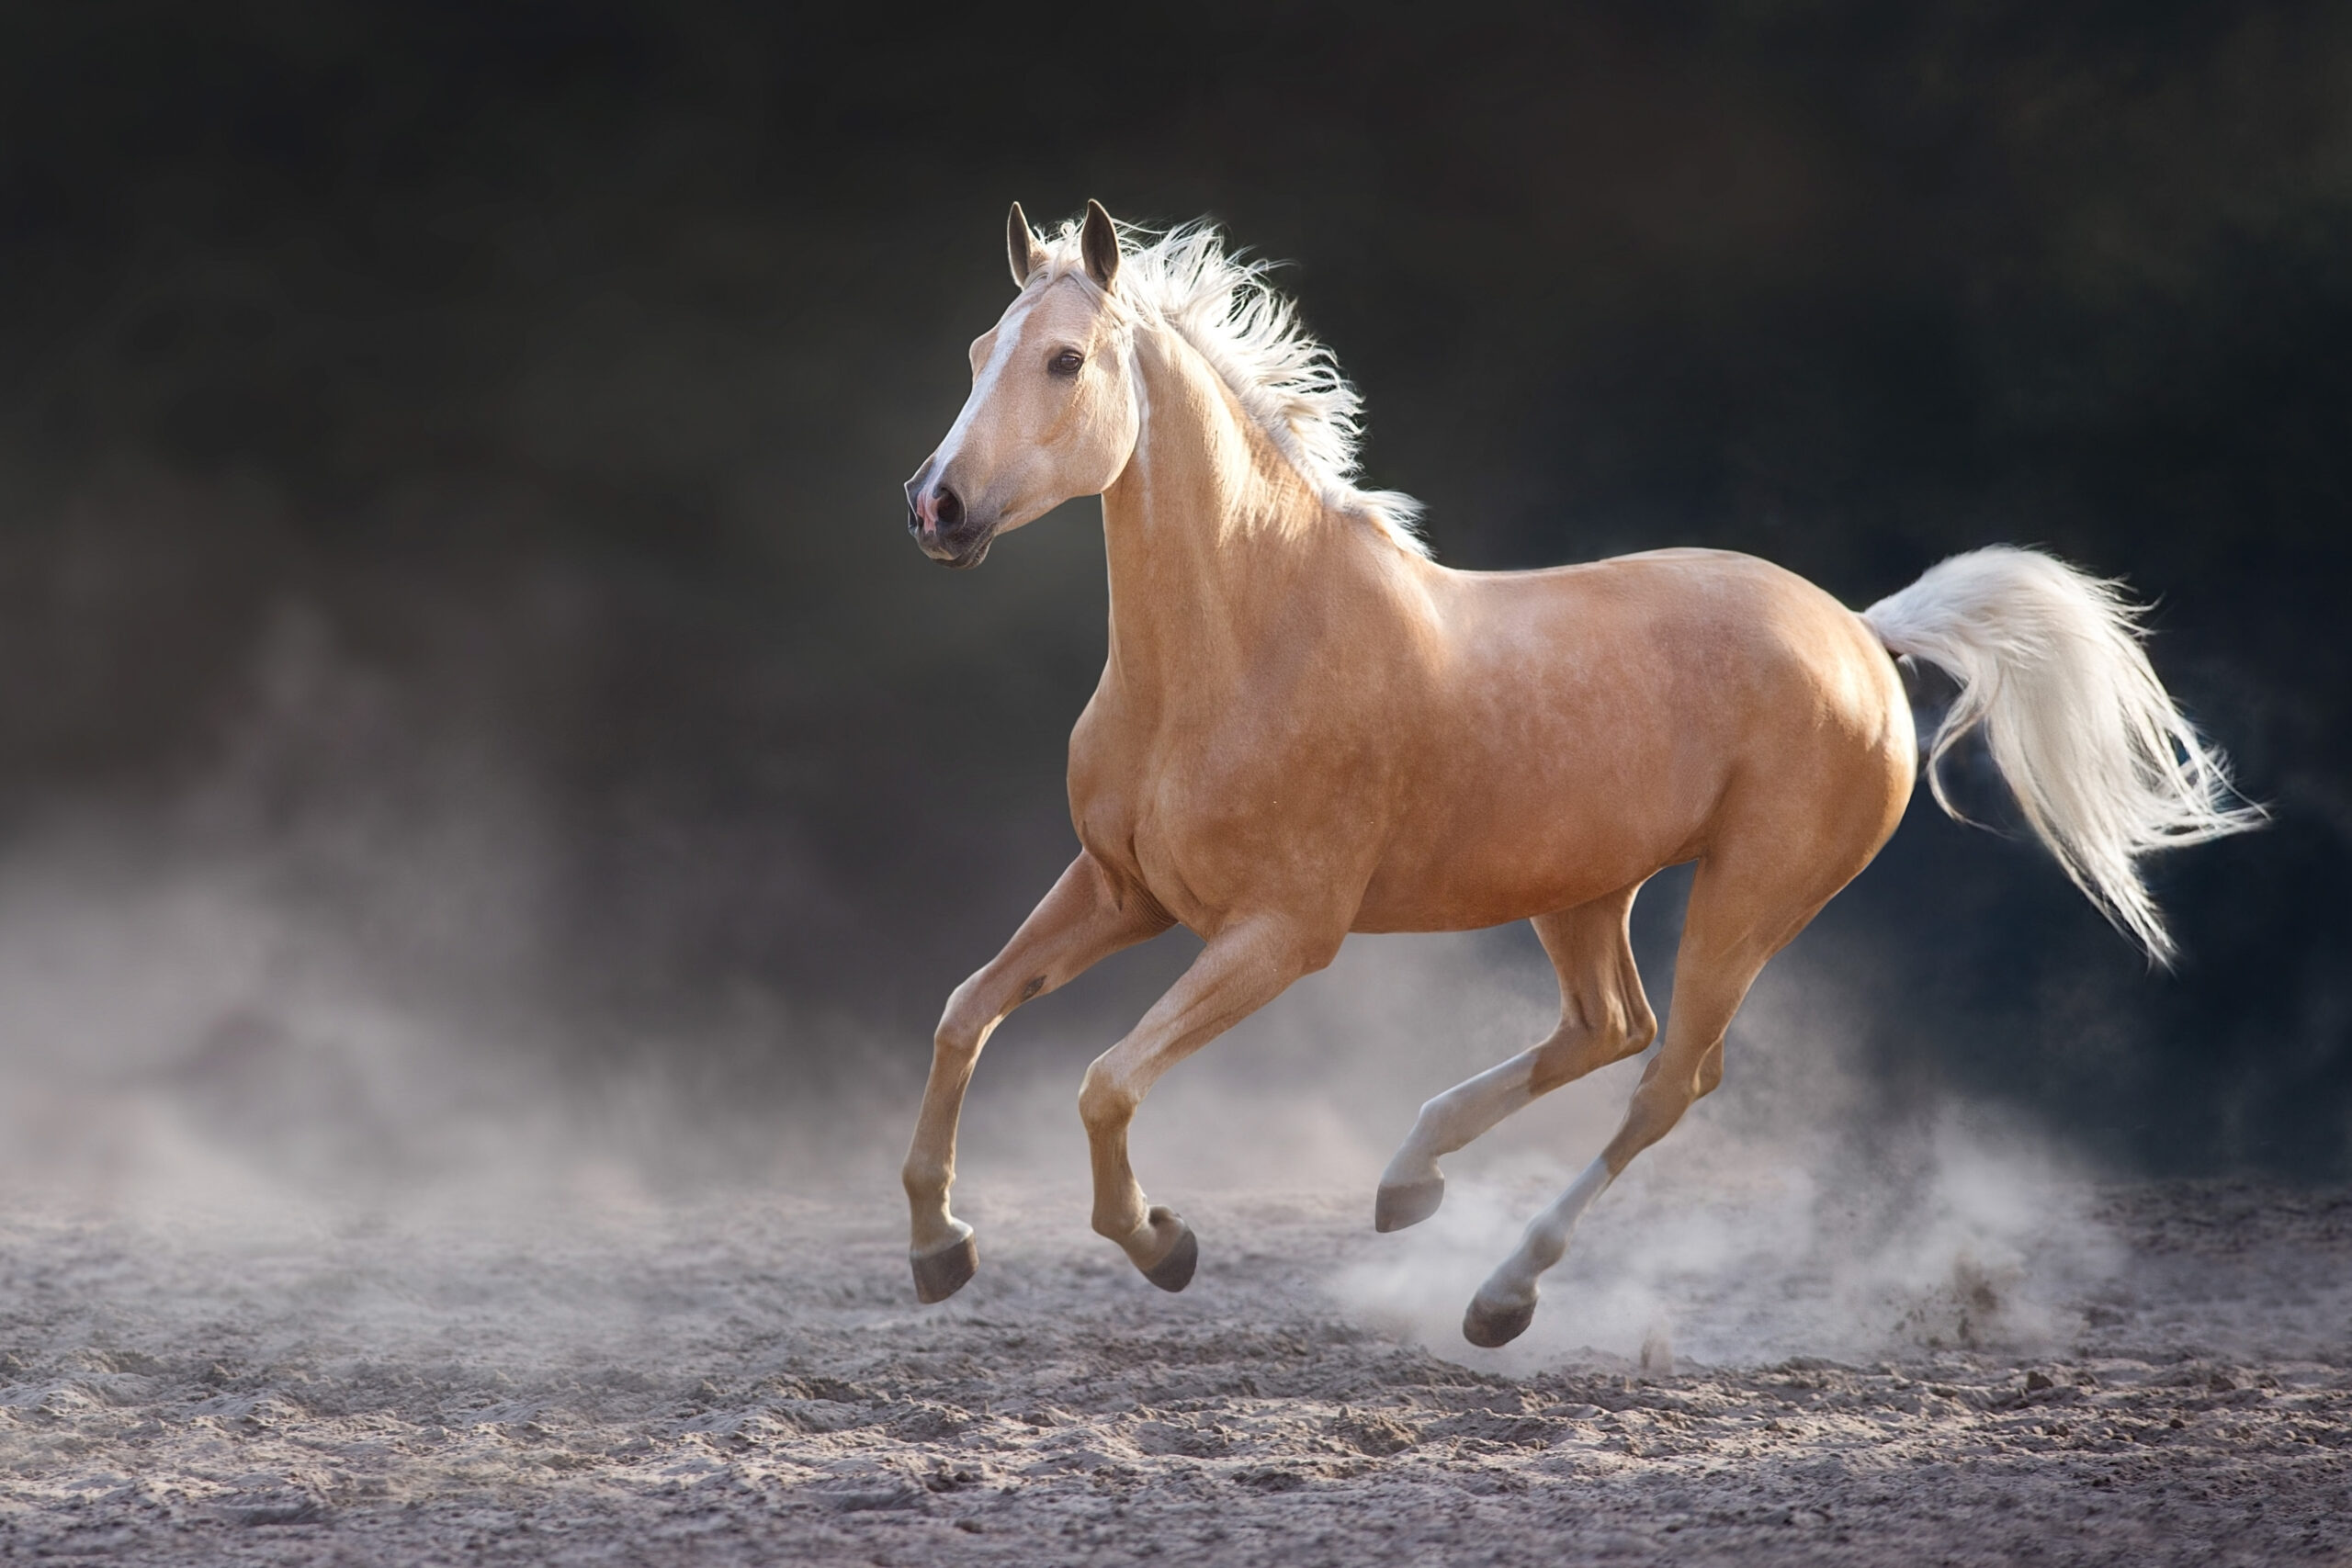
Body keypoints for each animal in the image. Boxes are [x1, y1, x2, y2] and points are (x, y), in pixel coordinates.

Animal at [897, 200, 2257, 1347]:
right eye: (972, 348)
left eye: (1065, 360)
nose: (937, 506)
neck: (1241, 649)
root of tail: (1861, 634)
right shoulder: (1120, 890)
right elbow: (965, 1009)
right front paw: (937, 1248)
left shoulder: (1280, 933)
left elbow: (1104, 1080)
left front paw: (1161, 1242)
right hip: (1584, 891)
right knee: (1611, 1026)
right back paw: (1409, 1183)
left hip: (1749, 898)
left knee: (1670, 1074)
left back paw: (1500, 1293)